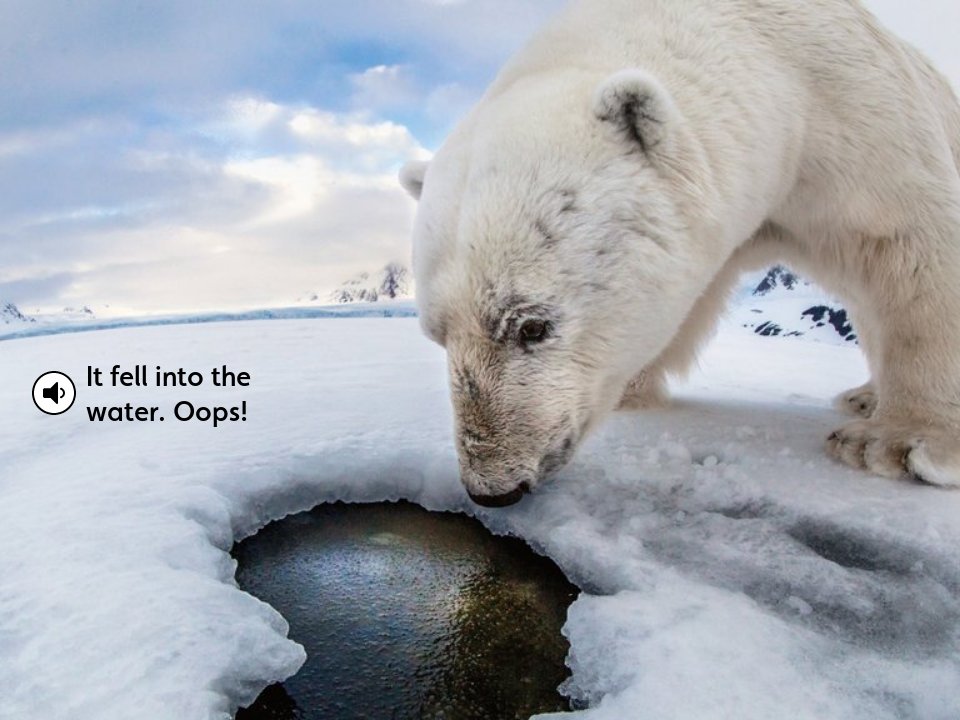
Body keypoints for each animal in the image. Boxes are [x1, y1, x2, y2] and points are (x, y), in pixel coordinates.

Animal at [399, 0, 960, 507]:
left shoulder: (856, 119)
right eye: (435, 334)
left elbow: (912, 244)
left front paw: (899, 443)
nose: (493, 488)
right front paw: (632, 387)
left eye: (532, 326)